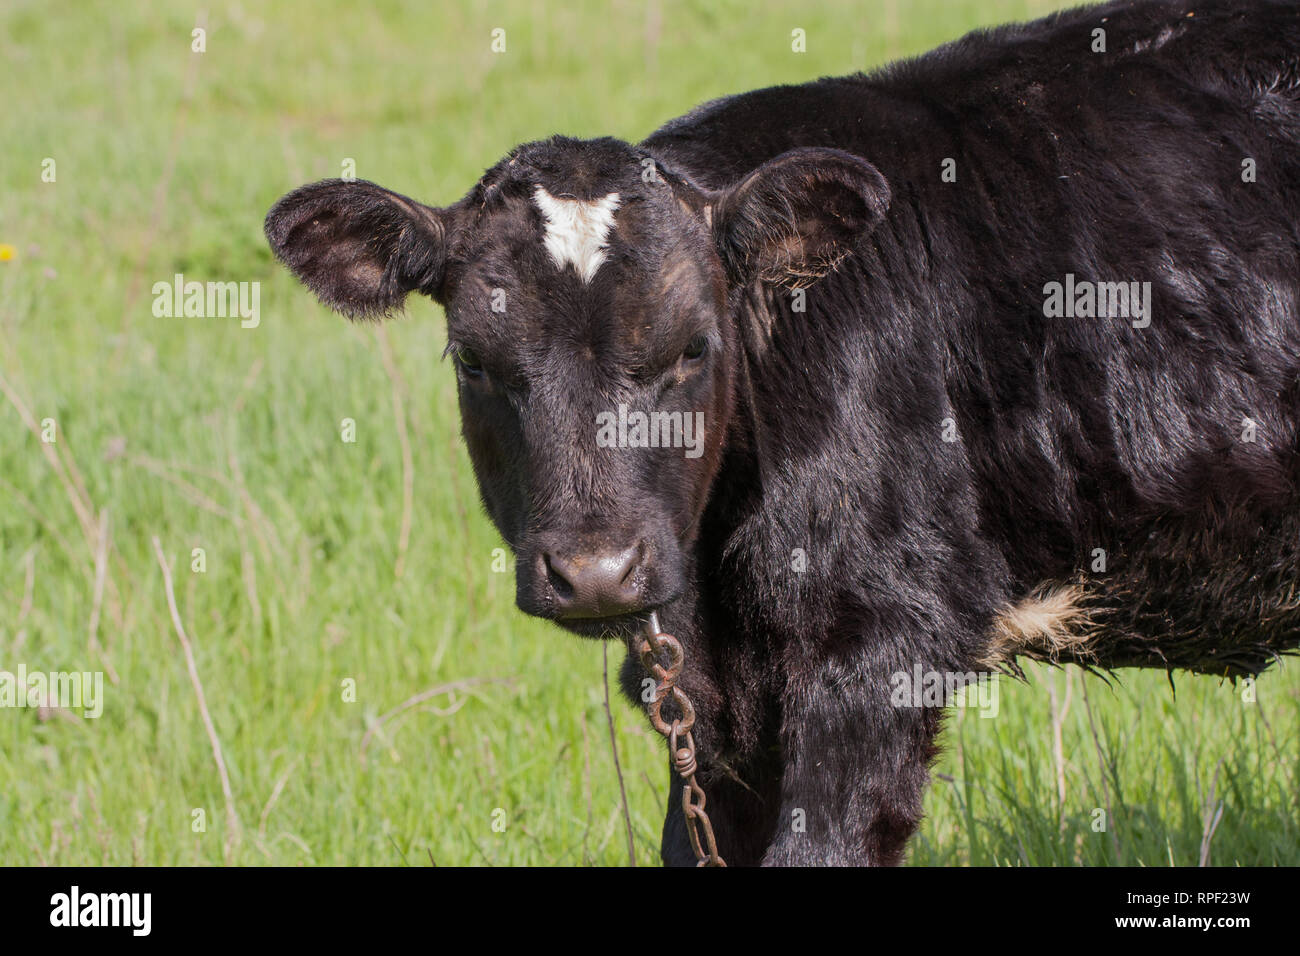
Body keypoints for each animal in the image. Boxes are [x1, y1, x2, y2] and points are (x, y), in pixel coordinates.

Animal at [265, 0, 1300, 865]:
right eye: (475, 362)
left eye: (695, 345)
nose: (596, 570)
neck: (716, 593)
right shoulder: (713, 708)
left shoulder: (883, 641)